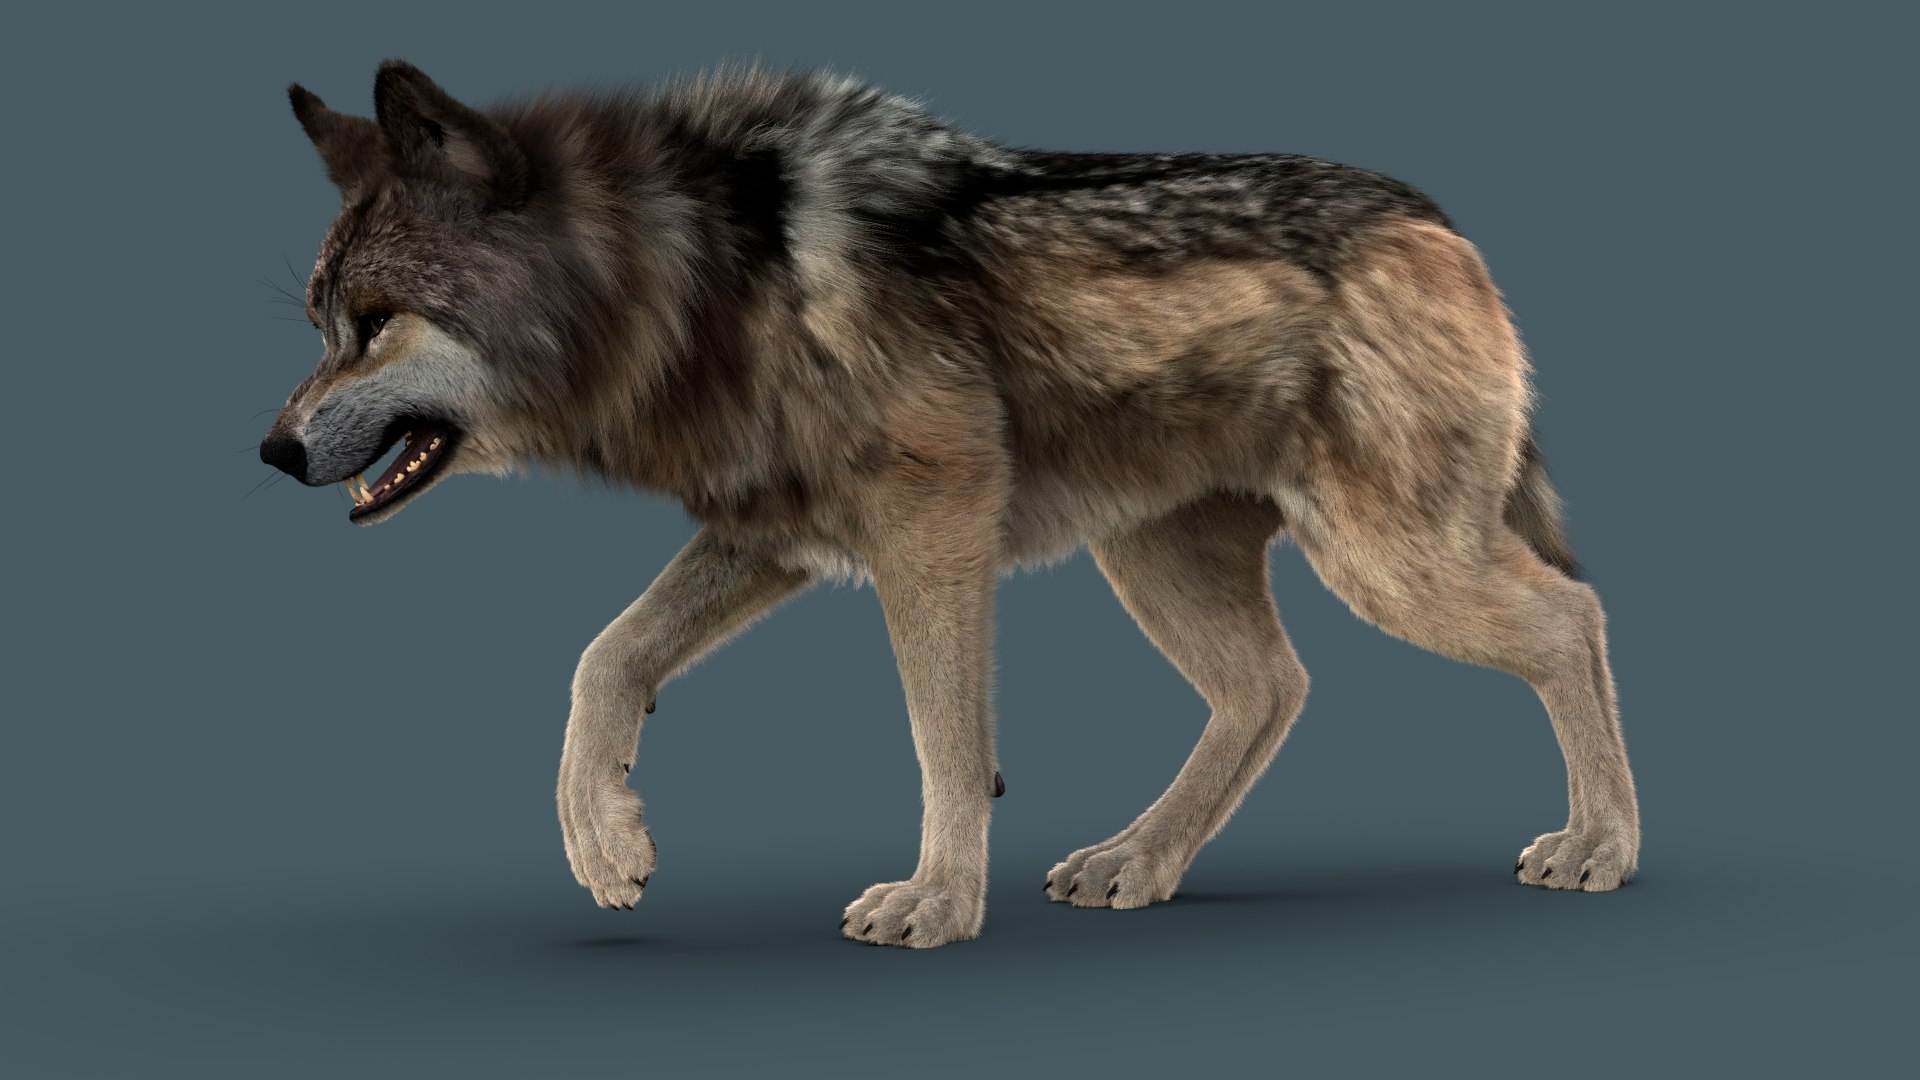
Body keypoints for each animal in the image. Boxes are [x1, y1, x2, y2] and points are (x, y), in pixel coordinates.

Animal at [260, 60, 1640, 948]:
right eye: (321, 325)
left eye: (376, 323)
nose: (270, 450)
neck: (695, 274)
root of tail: (1444, 226)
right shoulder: (776, 533)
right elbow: (605, 660)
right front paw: (607, 844)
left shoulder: (933, 524)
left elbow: (944, 742)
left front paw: (936, 905)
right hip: (1160, 562)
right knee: (1273, 688)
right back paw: (1136, 863)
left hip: (1385, 563)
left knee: (1572, 619)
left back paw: (1601, 847)